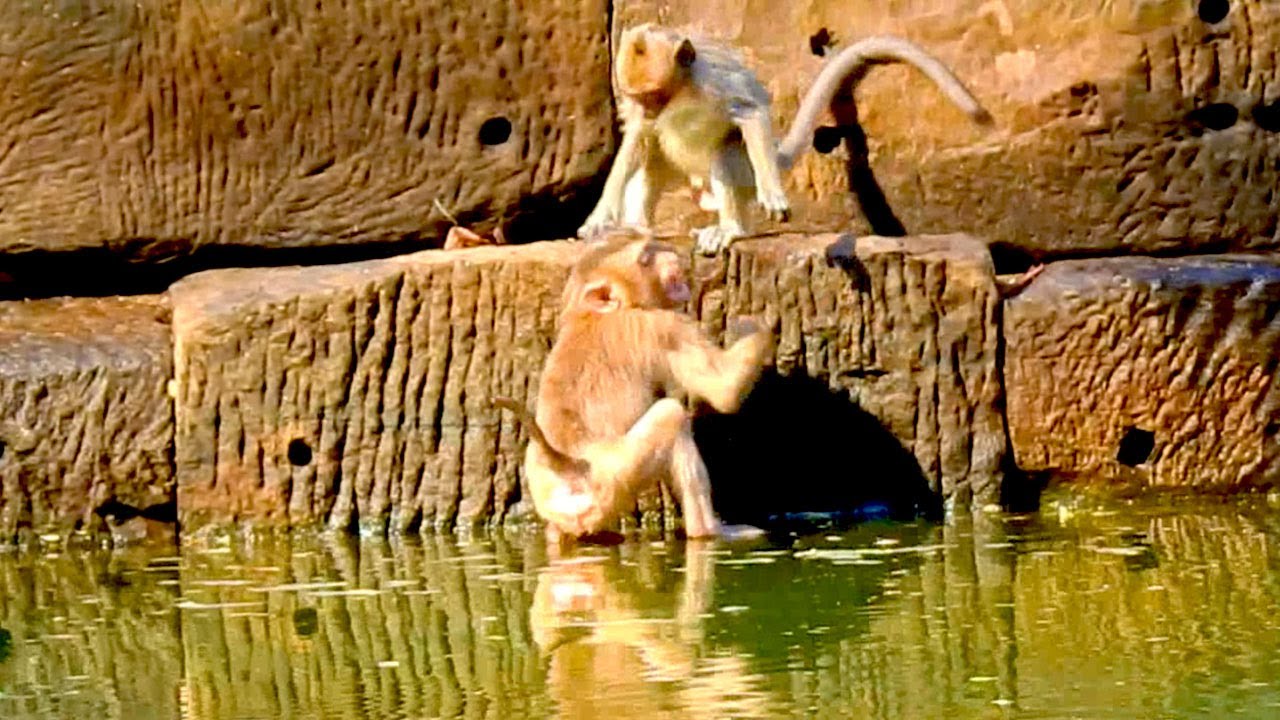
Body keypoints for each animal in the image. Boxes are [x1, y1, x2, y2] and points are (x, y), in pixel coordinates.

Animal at [496, 234, 771, 542]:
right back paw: (709, 531)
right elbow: (725, 390)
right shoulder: (662, 325)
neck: (593, 312)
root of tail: (565, 464)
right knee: (671, 414)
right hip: (614, 476)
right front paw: (754, 324)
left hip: (554, 499)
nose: (672, 256)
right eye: (645, 258)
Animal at [577, 23, 994, 255]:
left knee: (727, 151)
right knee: (653, 154)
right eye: (636, 98)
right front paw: (598, 218)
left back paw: (731, 228)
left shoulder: (714, 81)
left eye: (654, 97)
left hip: (741, 171)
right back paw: (638, 228)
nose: (648, 111)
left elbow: (750, 112)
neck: (682, 92)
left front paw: (773, 194)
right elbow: (636, 140)